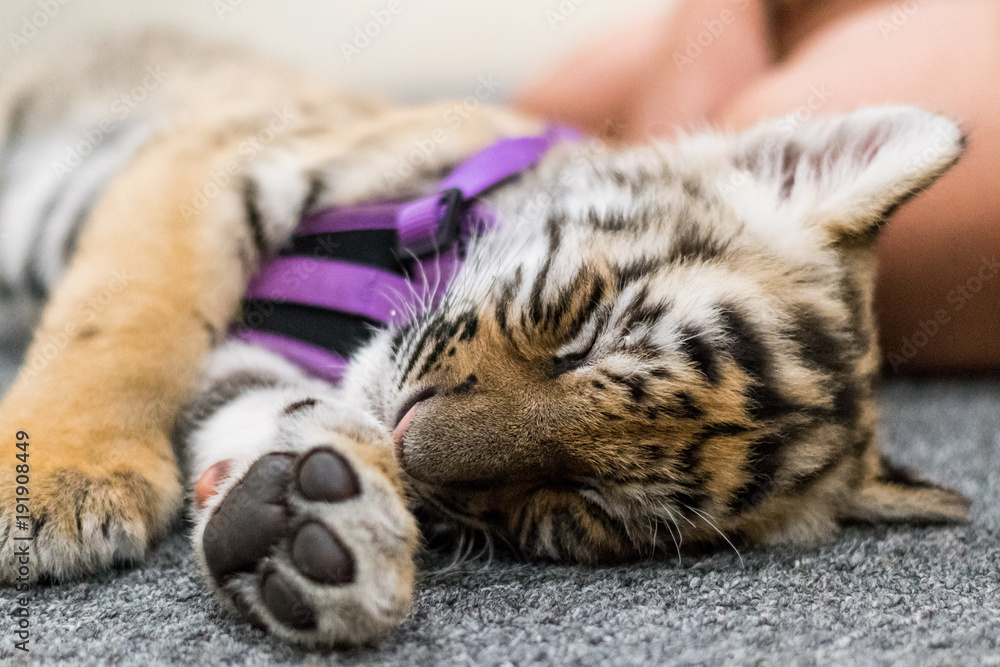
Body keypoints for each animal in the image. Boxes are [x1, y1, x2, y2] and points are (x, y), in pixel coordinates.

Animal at [0, 32, 969, 647]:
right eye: (583, 329)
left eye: (577, 505)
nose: (405, 440)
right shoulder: (219, 156)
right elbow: (126, 316)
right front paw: (58, 484)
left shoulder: (261, 359)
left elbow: (269, 410)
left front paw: (313, 530)